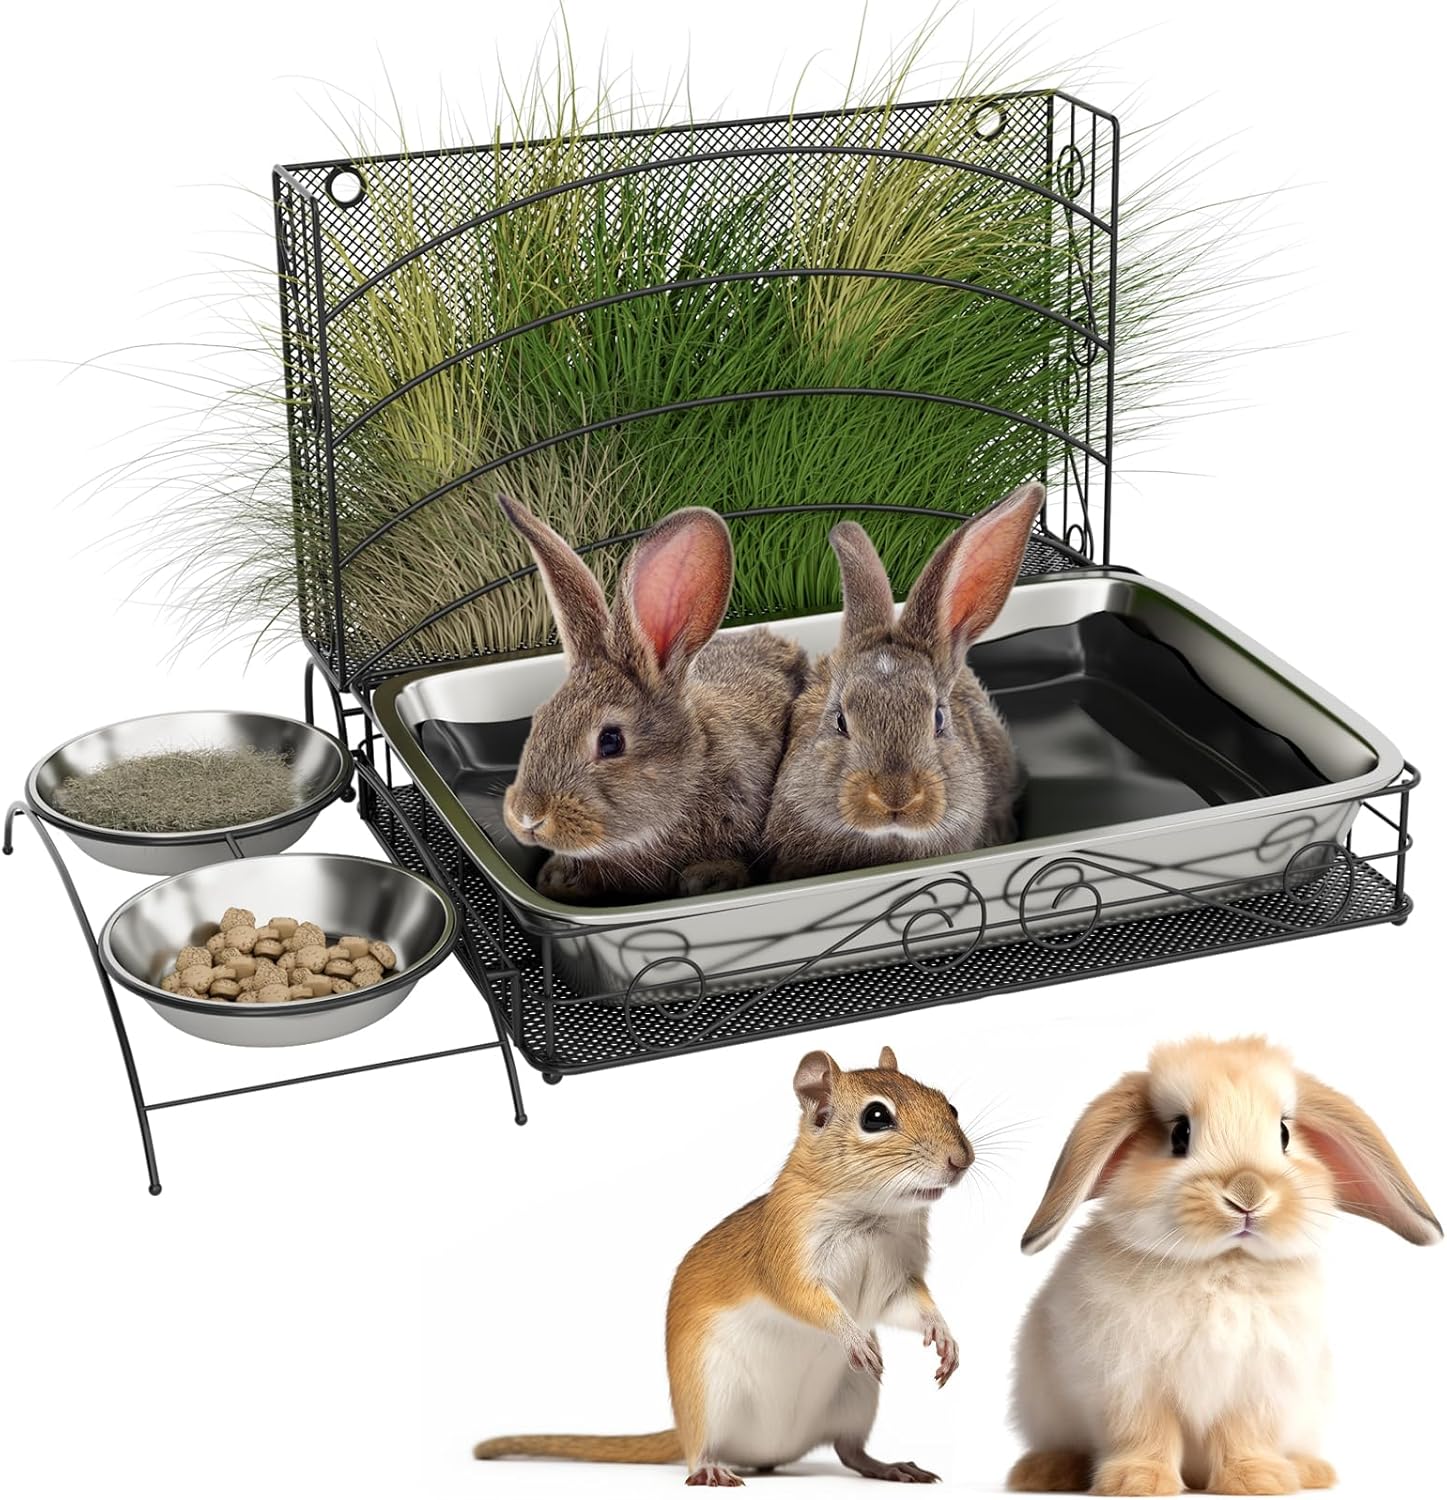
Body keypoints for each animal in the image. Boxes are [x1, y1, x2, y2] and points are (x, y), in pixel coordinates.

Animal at [1007, 1036, 1442, 1496]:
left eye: (1284, 1134)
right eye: (1180, 1134)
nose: (1247, 1193)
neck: (1220, 1264)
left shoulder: (1256, 1387)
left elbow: (1242, 1433)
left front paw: (1258, 1479)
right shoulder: (1129, 1383)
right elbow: (1146, 1431)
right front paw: (1138, 1481)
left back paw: (1308, 1470)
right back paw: (1046, 1471)